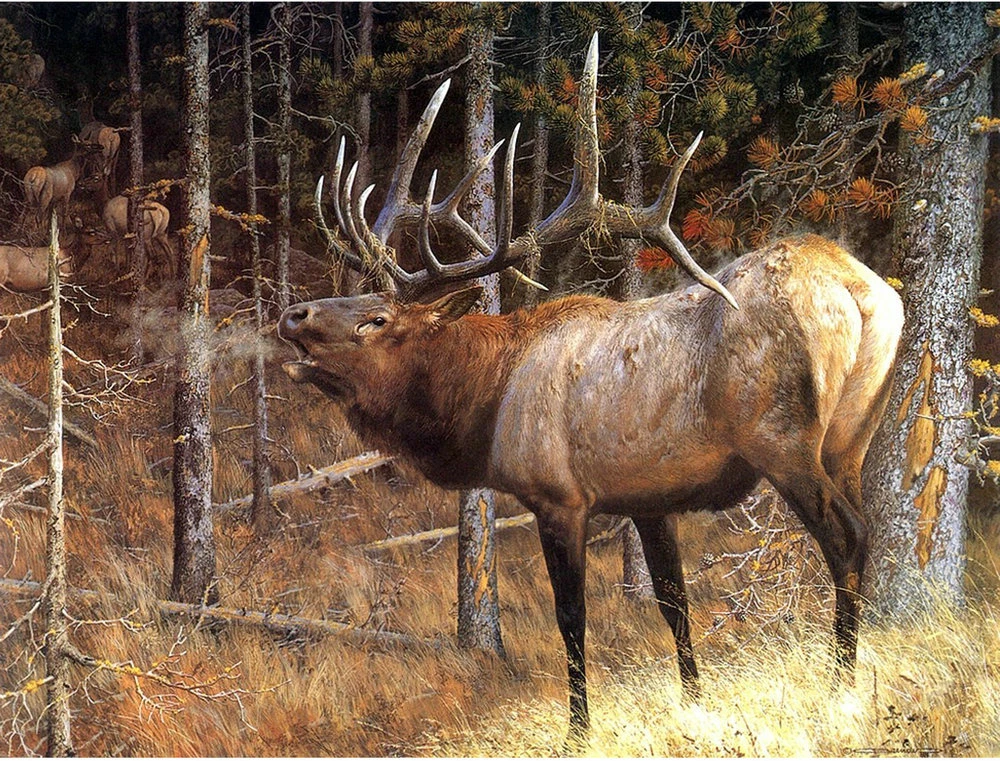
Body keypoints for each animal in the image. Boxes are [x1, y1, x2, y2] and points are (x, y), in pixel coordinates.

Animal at [277, 34, 904, 744]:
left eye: (377, 319)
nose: (293, 315)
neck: (486, 405)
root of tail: (858, 288)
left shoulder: (558, 494)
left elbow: (571, 618)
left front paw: (578, 727)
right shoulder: (650, 497)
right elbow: (673, 601)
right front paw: (692, 703)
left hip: (782, 437)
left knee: (844, 536)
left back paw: (840, 684)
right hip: (851, 438)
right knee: (866, 527)